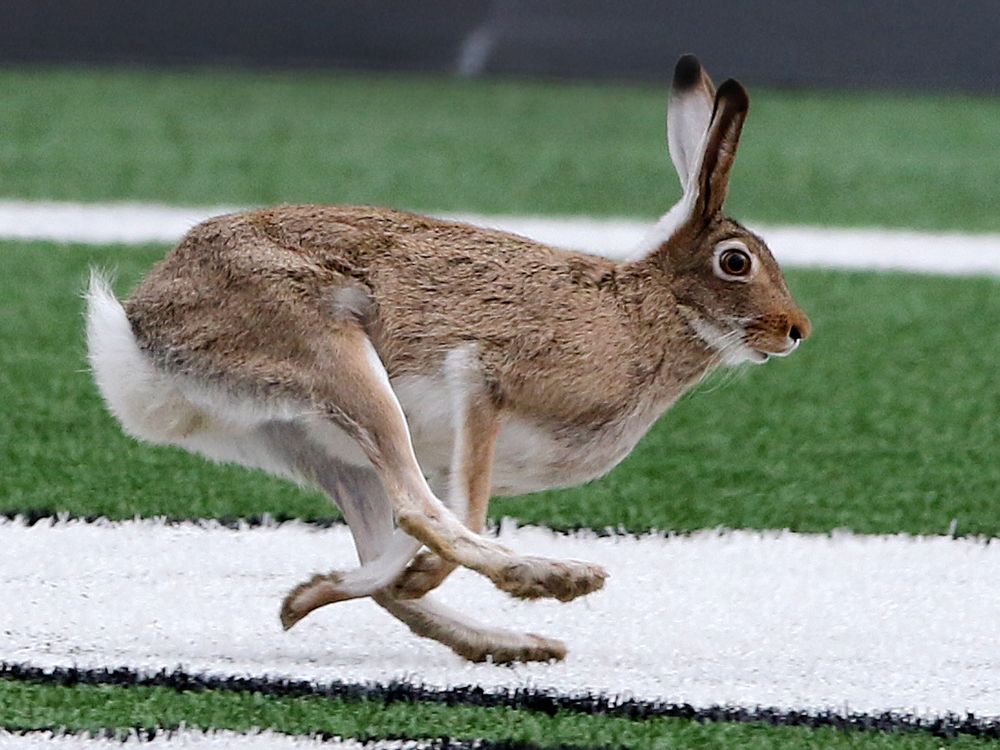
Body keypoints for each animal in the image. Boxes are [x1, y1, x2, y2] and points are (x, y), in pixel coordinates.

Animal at [85, 54, 810, 664]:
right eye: (736, 262)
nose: (797, 331)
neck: (651, 304)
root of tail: (143, 328)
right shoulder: (486, 379)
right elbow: (465, 509)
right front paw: (471, 574)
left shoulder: (456, 444)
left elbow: (436, 526)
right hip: (337, 357)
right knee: (414, 511)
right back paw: (552, 579)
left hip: (313, 441)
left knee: (386, 551)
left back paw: (472, 633)